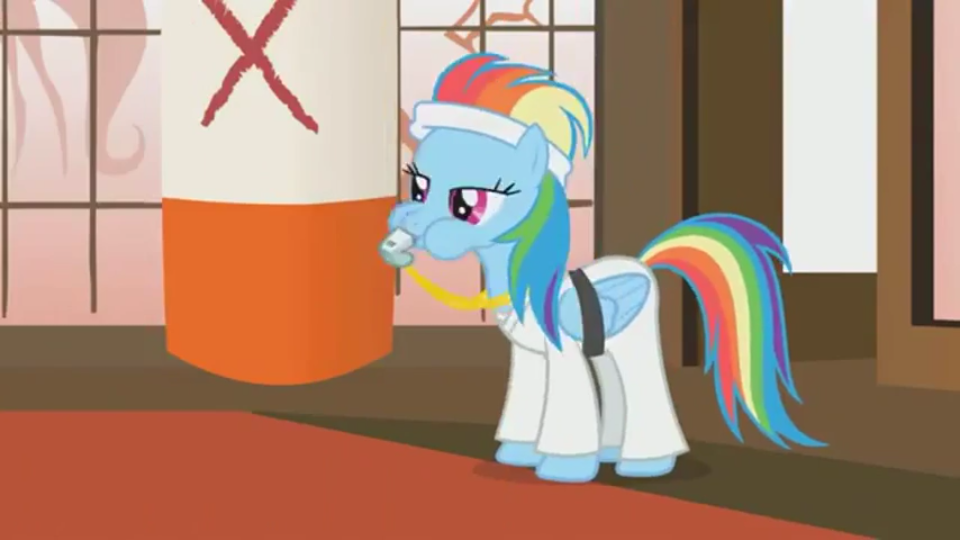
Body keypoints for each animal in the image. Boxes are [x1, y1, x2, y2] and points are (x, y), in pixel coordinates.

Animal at [379, 53, 825, 484]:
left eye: (468, 203)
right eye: (418, 187)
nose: (398, 238)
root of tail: (643, 264)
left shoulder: (561, 353)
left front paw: (563, 470)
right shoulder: (529, 359)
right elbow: (525, 404)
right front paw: (518, 456)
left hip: (636, 339)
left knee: (641, 385)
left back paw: (647, 464)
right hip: (606, 347)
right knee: (614, 385)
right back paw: (611, 453)